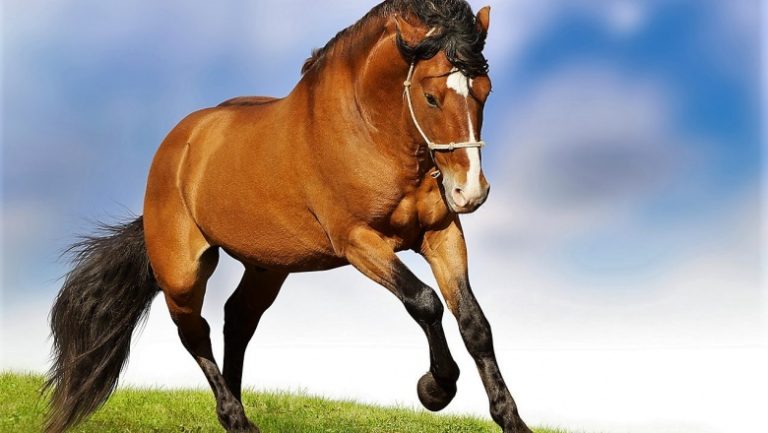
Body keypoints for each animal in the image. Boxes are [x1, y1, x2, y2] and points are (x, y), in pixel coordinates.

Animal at [45, 1, 532, 432]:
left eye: (485, 91)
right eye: (431, 97)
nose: (470, 192)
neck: (369, 132)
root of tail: (177, 146)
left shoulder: (441, 233)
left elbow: (474, 323)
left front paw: (512, 420)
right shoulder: (358, 241)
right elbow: (425, 302)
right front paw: (435, 389)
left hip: (267, 266)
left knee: (238, 319)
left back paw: (237, 407)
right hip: (182, 272)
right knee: (194, 331)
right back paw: (235, 418)